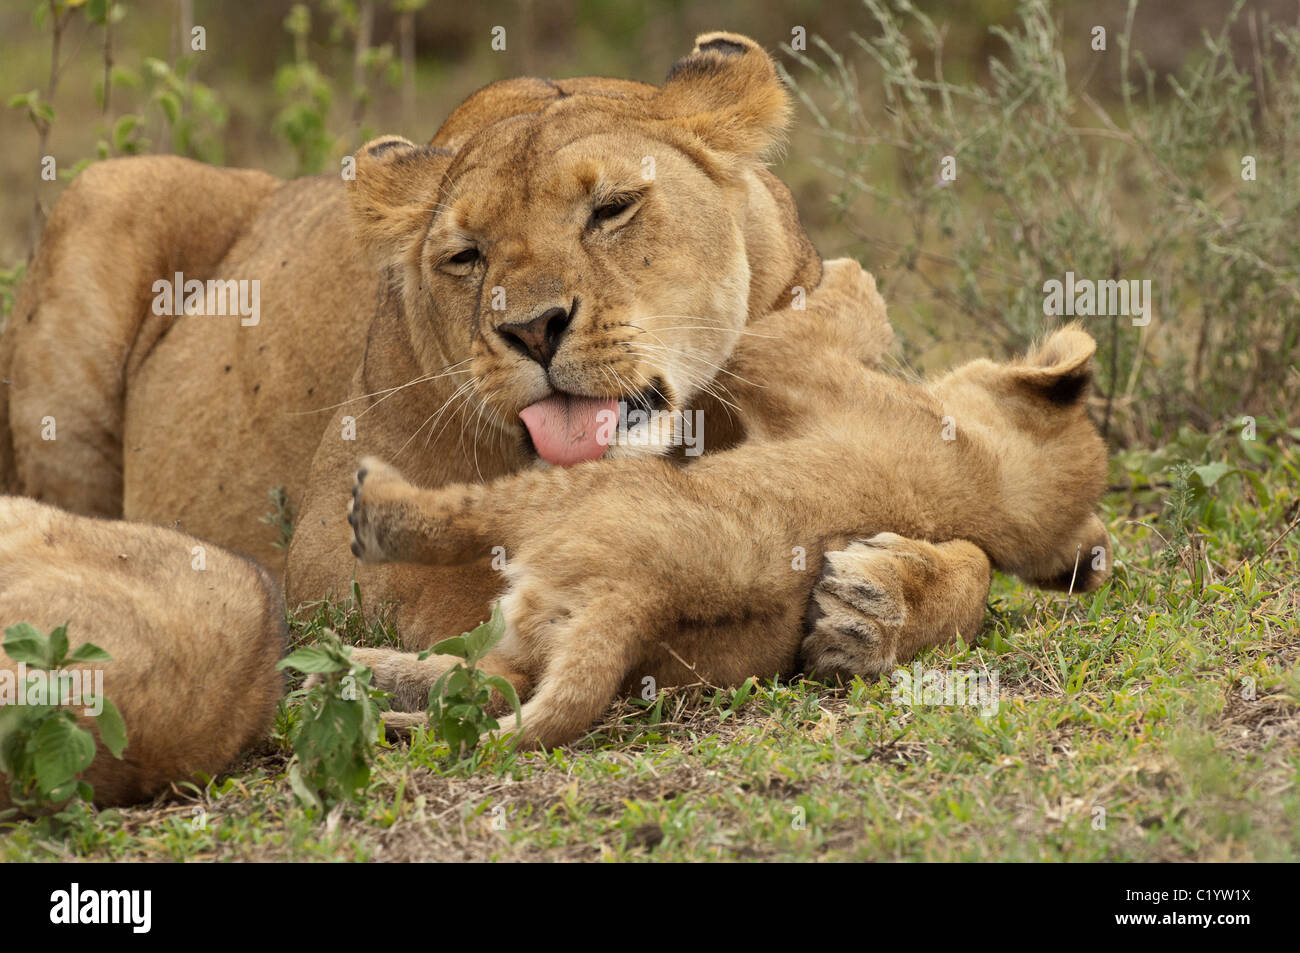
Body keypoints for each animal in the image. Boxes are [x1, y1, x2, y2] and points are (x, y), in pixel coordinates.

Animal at [342, 260, 1112, 749]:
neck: (987, 481)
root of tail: (639, 597)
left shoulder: (776, 357)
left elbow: (841, 307)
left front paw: (852, 270)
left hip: (565, 491)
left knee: (457, 524)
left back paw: (371, 511)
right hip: (533, 644)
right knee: (464, 684)